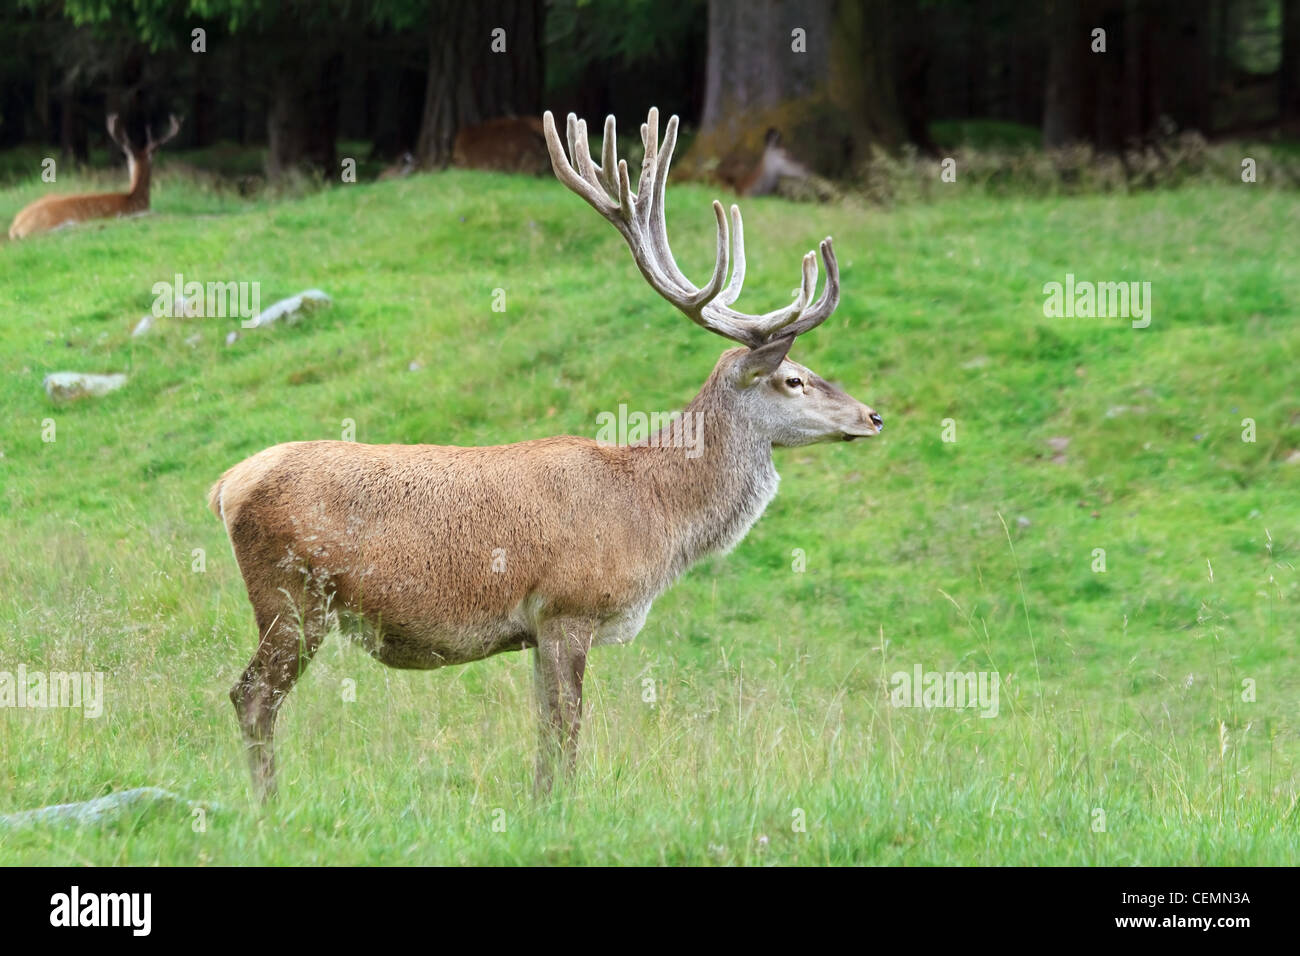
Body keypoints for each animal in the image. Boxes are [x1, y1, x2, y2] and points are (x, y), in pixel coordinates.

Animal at [208, 107, 883, 802]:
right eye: (794, 378)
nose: (872, 416)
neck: (653, 520)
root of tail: (225, 486)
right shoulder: (568, 607)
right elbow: (566, 732)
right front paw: (560, 808)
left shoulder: (538, 629)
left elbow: (544, 735)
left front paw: (539, 804)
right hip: (291, 596)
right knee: (251, 695)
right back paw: (268, 805)